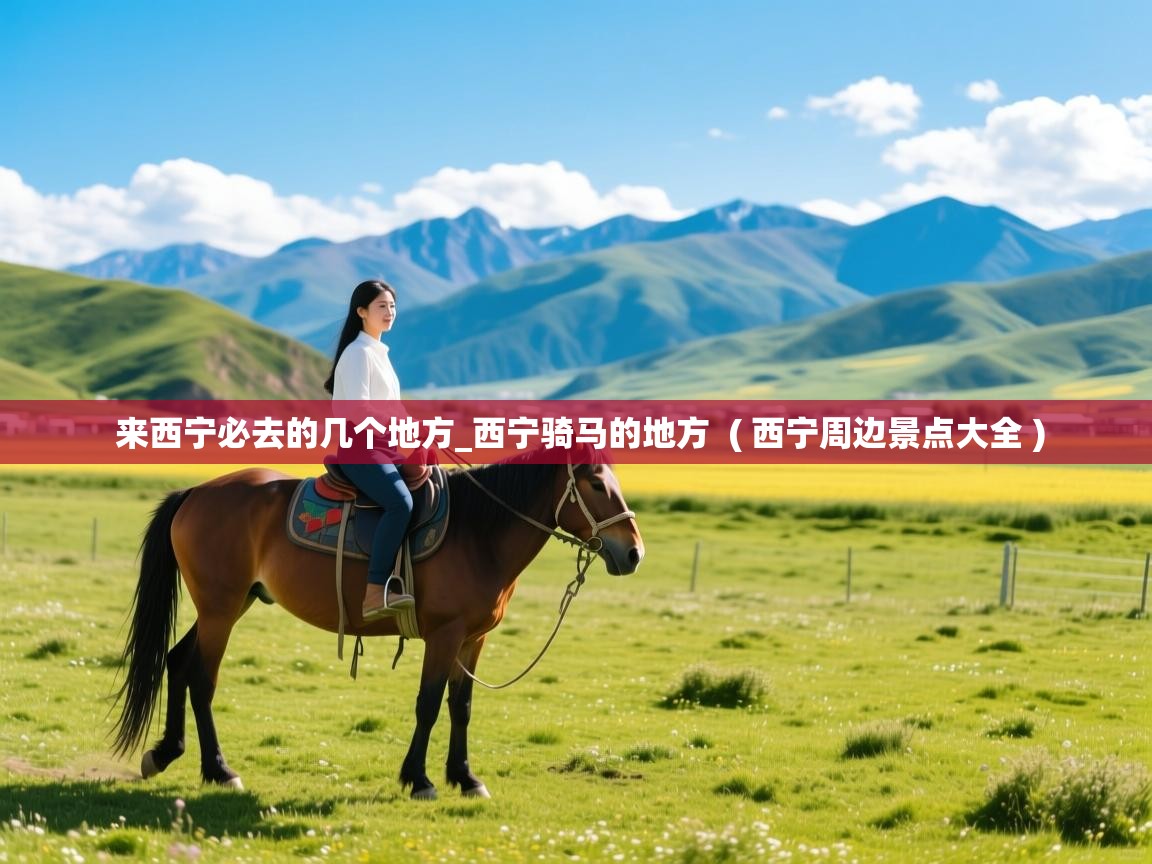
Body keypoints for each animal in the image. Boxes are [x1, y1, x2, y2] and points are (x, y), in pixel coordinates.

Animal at [110, 450, 644, 799]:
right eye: (596, 484)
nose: (634, 552)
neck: (478, 532)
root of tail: (196, 492)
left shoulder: (473, 640)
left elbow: (461, 708)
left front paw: (465, 777)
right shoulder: (445, 635)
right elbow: (428, 705)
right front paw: (419, 779)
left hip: (230, 604)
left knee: (177, 662)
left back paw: (165, 753)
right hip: (220, 609)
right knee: (202, 679)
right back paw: (219, 770)